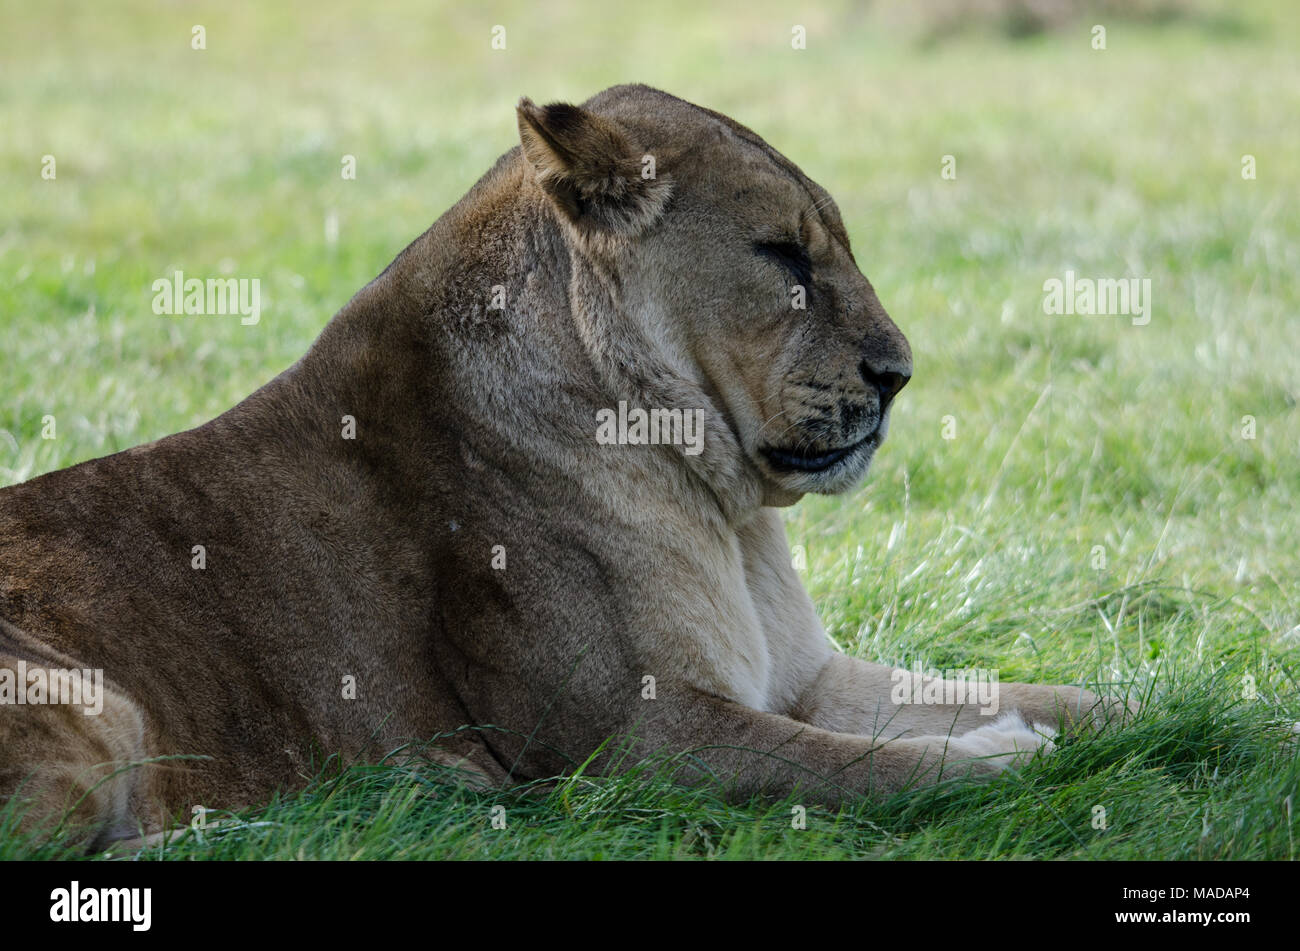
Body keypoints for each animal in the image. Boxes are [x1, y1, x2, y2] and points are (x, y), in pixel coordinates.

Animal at [0, 85, 1133, 850]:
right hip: (92, 706)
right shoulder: (636, 741)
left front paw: (1142, 714)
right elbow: (866, 771)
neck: (726, 512)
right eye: (782, 254)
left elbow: (1018, 693)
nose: (899, 374)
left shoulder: (801, 676)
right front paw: (1008, 758)